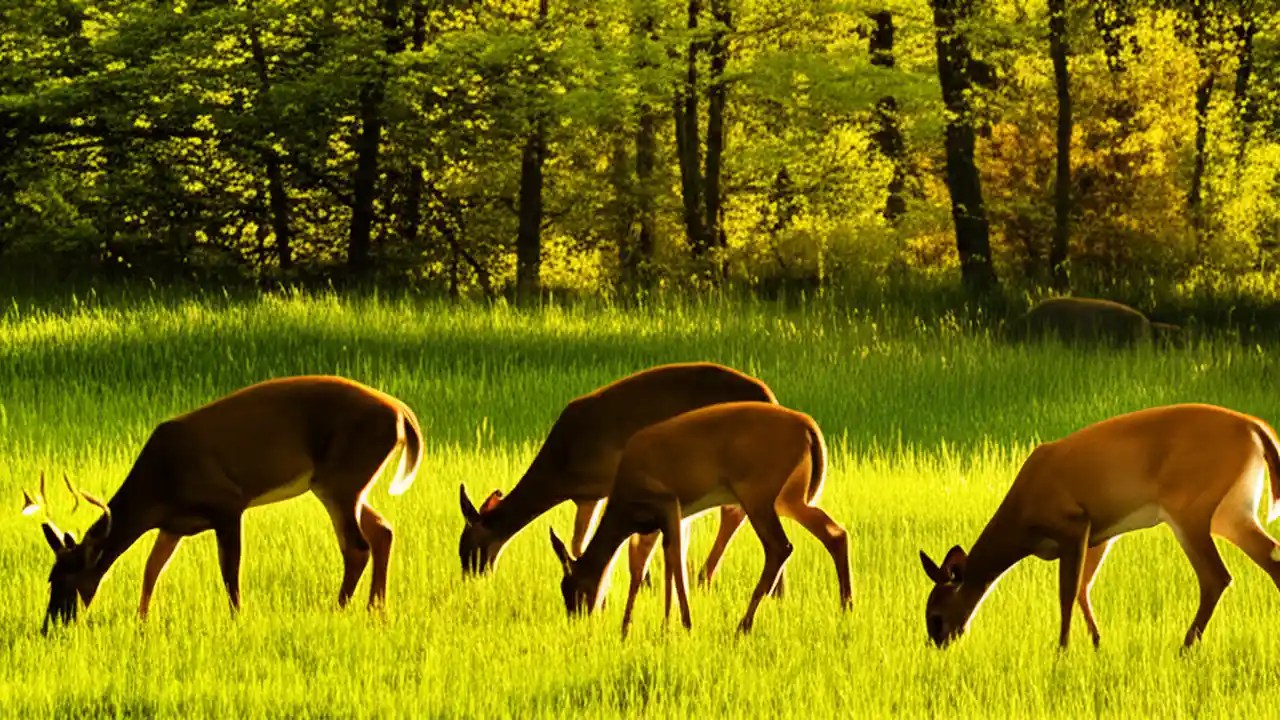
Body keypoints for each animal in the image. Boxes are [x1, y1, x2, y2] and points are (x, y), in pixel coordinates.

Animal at [30, 375, 423, 634]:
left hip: (341, 477)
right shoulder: (172, 524)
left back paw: (338, 610)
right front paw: (141, 621)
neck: (159, 484)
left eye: (66, 579)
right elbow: (152, 569)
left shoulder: (228, 503)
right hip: (344, 482)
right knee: (382, 530)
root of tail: (402, 413)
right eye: (49, 578)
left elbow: (229, 570)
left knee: (356, 545)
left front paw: (237, 619)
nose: (49, 626)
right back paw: (376, 610)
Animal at [459, 362, 787, 598]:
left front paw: (642, 584)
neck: (562, 465)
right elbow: (578, 541)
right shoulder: (589, 494)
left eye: (468, 548)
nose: (472, 577)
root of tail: (771, 398)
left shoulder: (612, 481)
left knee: (737, 513)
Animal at [549, 401, 852, 635]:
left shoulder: (668, 504)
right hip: (790, 497)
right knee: (835, 533)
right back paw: (846, 607)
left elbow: (672, 560)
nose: (576, 620)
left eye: (573, 589)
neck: (625, 502)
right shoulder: (660, 522)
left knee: (780, 547)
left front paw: (682, 625)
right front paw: (639, 627)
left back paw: (743, 625)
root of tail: (808, 427)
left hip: (758, 493)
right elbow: (647, 564)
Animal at [920, 403, 1280, 650]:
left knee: (1216, 576)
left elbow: (1067, 592)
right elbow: (1083, 587)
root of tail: (1256, 428)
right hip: (1233, 511)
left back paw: (1185, 647)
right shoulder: (1099, 534)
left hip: (1190, 507)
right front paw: (1096, 643)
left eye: (936, 616)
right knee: (1271, 556)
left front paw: (1062, 650)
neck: (1022, 519)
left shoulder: (1073, 522)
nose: (936, 645)